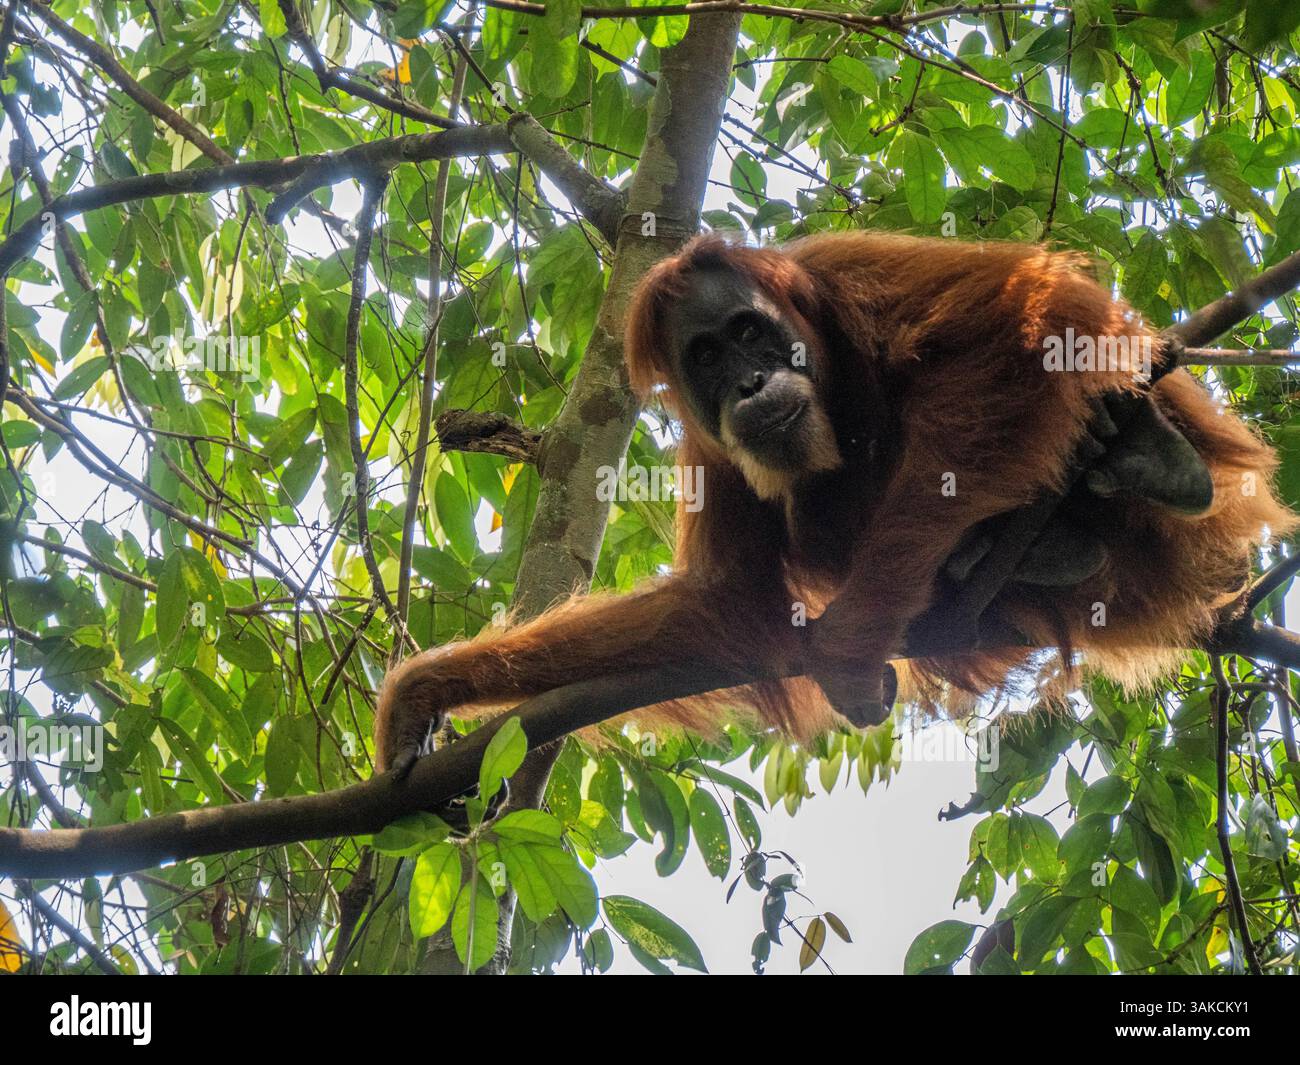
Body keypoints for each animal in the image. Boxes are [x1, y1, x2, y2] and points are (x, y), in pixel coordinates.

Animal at [373, 231, 1294, 778]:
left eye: (750, 333)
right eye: (705, 356)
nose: (749, 383)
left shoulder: (850, 267)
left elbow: (1010, 312)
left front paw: (850, 646)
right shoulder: (712, 448)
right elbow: (728, 603)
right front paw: (424, 690)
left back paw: (1153, 456)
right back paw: (1047, 542)